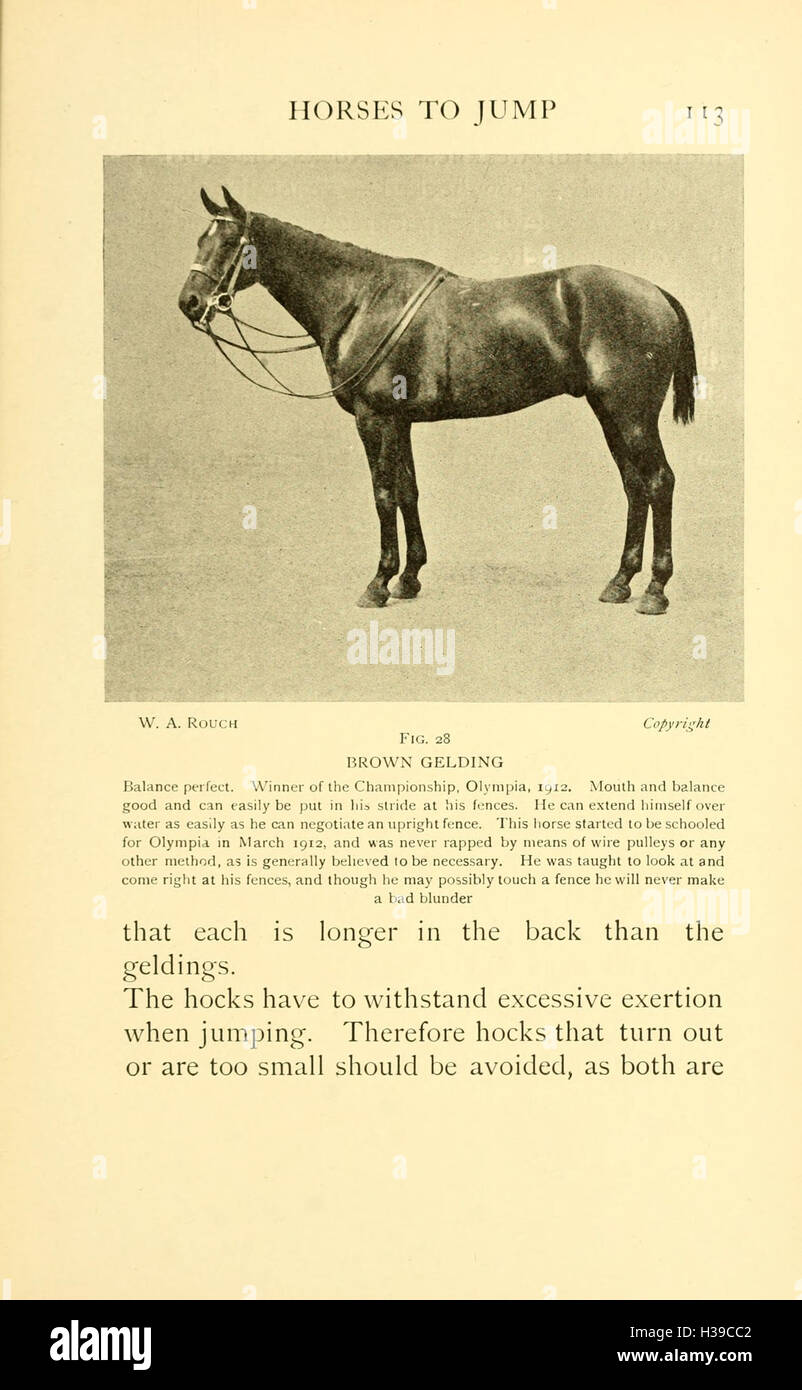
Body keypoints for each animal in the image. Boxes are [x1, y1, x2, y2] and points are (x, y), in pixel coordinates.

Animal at [178, 186, 696, 615]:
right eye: (200, 239)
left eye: (228, 242)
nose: (189, 302)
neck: (362, 300)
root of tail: (657, 293)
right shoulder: (400, 421)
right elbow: (408, 491)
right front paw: (409, 579)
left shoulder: (375, 418)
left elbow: (383, 494)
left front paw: (379, 583)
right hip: (610, 413)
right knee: (635, 485)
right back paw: (620, 582)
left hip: (631, 415)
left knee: (659, 482)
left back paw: (655, 590)